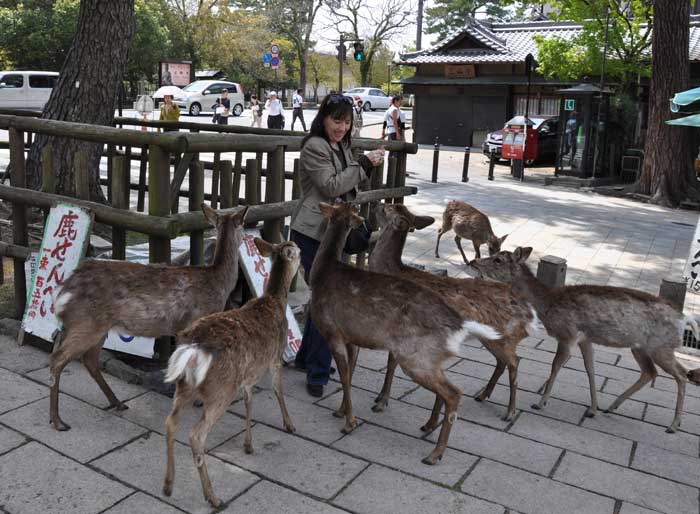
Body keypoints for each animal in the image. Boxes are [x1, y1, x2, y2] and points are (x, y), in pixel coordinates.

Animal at [50, 204, 248, 432]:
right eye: (244, 226)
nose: (248, 239)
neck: (219, 286)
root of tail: (63, 291)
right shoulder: (195, 321)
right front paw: (195, 400)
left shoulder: (180, 329)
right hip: (86, 323)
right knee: (58, 359)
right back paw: (58, 421)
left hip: (95, 327)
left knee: (88, 359)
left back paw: (117, 403)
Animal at [162, 238, 299, 508]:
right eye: (298, 250)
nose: (302, 256)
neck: (275, 300)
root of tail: (194, 348)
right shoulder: (275, 357)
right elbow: (278, 389)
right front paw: (289, 424)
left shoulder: (248, 375)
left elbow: (249, 401)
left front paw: (248, 445)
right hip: (221, 390)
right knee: (196, 435)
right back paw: (213, 497)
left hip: (183, 385)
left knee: (171, 422)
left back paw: (169, 485)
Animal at [310, 201, 506, 465]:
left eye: (387, 209)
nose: (375, 205)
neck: (322, 274)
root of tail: (459, 324)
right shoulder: (352, 337)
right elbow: (350, 373)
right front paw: (342, 410)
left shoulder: (333, 332)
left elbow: (346, 374)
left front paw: (352, 421)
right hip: (430, 356)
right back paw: (432, 428)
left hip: (415, 357)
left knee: (455, 392)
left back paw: (435, 453)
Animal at [368, 203, 541, 421]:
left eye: (385, 209)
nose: (376, 205)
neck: (395, 272)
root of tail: (530, 314)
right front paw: (380, 397)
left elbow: (391, 362)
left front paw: (381, 402)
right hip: (492, 338)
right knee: (502, 362)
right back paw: (482, 395)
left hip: (506, 338)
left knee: (515, 362)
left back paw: (510, 412)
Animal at [470, 247, 700, 433]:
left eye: (498, 259)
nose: (473, 261)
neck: (547, 303)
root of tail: (684, 319)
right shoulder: (584, 339)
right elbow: (590, 368)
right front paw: (593, 409)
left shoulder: (567, 334)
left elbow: (556, 365)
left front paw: (541, 402)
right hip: (641, 347)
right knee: (650, 372)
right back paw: (612, 407)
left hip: (660, 346)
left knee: (681, 374)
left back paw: (673, 425)